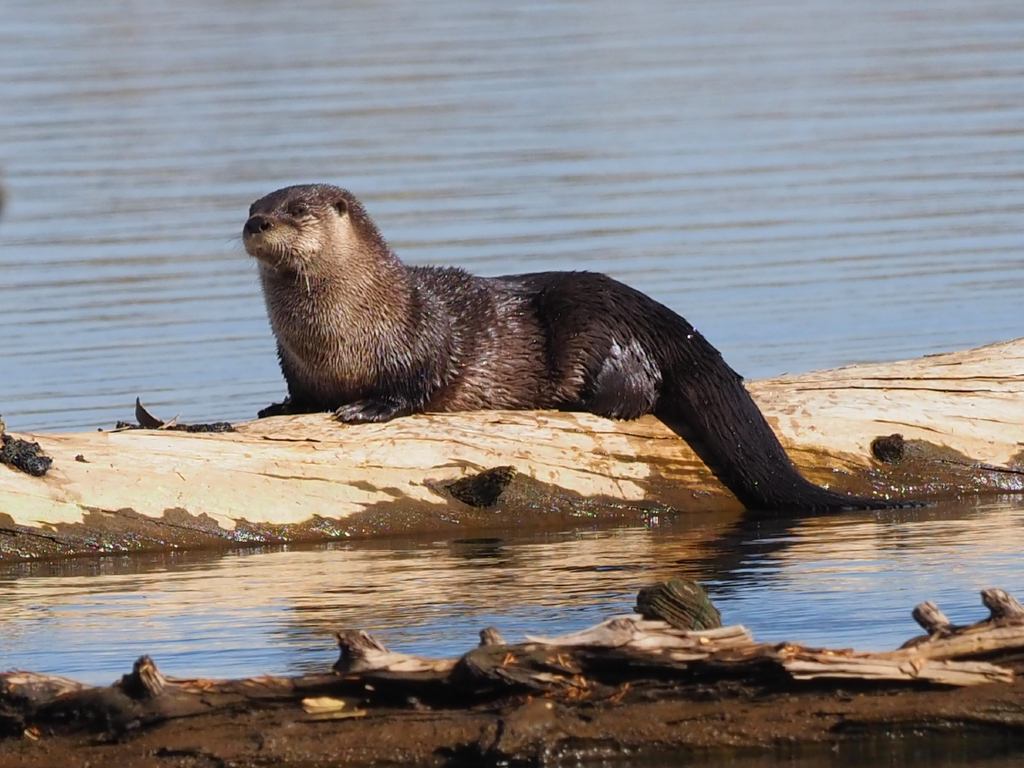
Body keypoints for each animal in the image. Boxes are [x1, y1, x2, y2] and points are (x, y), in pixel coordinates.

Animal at [243, 184, 909, 513]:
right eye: (252, 206)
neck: (339, 332)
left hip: (594, 331)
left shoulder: (422, 338)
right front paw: (278, 407)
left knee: (635, 394)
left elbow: (418, 383)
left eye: (296, 209)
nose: (256, 223)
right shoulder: (293, 361)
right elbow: (296, 393)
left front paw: (366, 409)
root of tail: (653, 310)